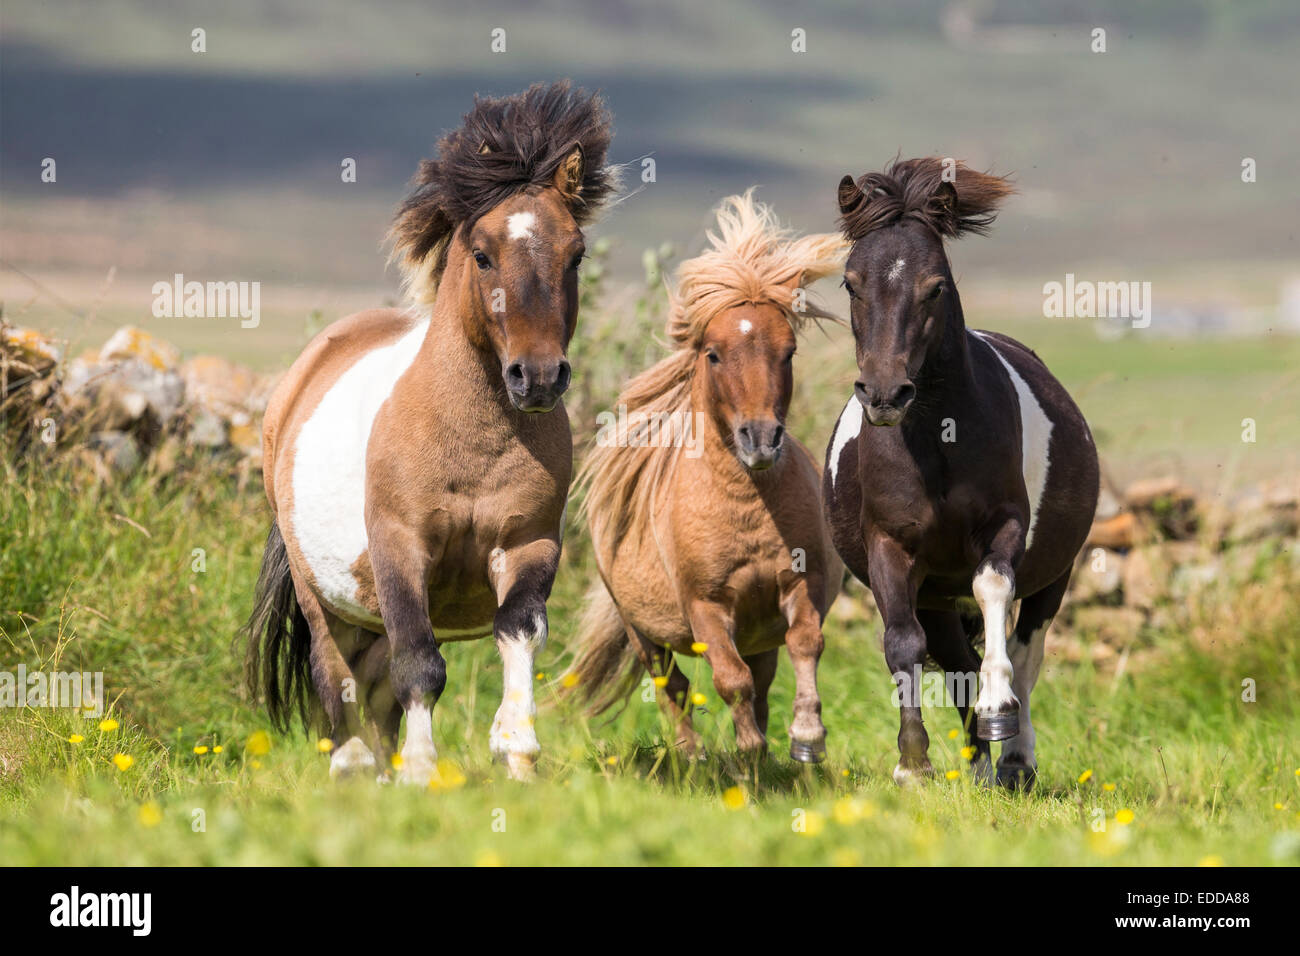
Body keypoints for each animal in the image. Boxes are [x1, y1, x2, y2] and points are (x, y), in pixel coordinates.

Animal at [244, 82, 618, 783]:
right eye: (482, 254)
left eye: (576, 253)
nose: (538, 378)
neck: (470, 444)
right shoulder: (400, 547)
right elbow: (421, 664)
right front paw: (421, 772)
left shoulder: (528, 545)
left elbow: (518, 635)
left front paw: (517, 754)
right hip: (323, 598)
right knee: (337, 678)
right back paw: (356, 769)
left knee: (373, 687)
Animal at [561, 192, 846, 762]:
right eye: (713, 354)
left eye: (789, 352)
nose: (761, 439)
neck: (746, 506)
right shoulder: (706, 608)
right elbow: (728, 680)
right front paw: (748, 751)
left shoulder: (798, 584)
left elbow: (805, 645)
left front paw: (806, 736)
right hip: (644, 632)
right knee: (672, 688)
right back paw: (692, 758)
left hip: (756, 634)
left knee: (760, 679)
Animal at [822, 158, 1099, 789]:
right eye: (850, 282)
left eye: (936, 286)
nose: (884, 394)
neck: (937, 441)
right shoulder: (890, 548)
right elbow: (903, 646)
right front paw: (913, 765)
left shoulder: (1004, 529)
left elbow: (993, 588)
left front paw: (999, 713)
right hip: (937, 596)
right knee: (955, 664)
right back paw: (977, 770)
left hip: (1055, 575)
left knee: (1025, 652)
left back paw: (1015, 760)